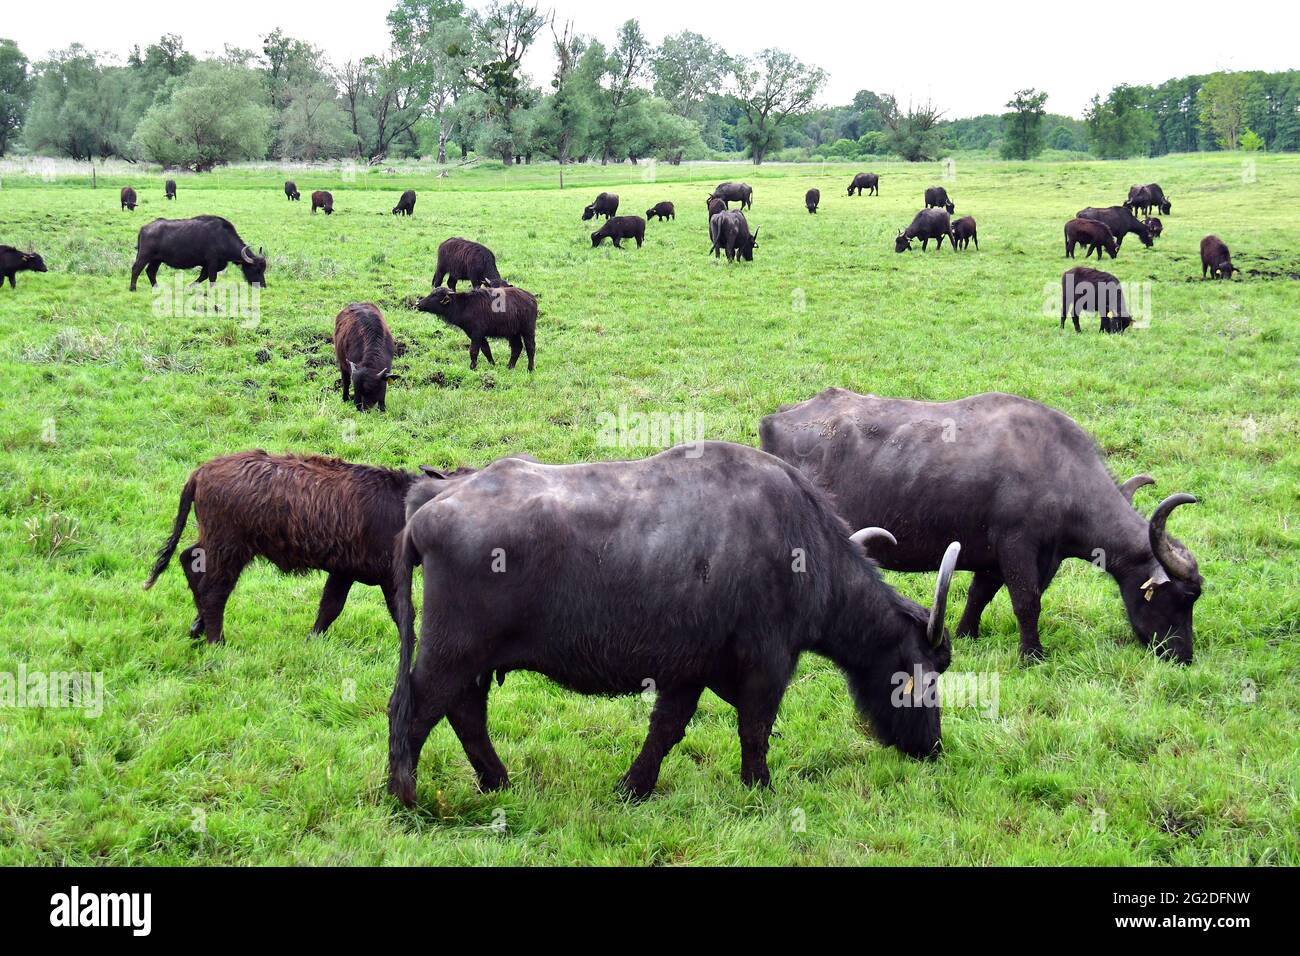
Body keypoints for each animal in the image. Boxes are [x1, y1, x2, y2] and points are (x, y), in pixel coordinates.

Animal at [129, 216, 267, 290]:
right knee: (136, 269)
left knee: (150, 271)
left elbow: (202, 277)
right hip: (144, 256)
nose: (263, 286)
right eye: (256, 270)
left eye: (263, 270)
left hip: (156, 260)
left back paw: (156, 288)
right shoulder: (212, 263)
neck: (223, 237)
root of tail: (144, 228)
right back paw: (133, 289)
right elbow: (212, 278)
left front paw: (189, 287)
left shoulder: (207, 265)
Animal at [386, 442, 961, 804]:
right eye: (927, 674)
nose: (932, 748)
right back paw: (403, 793)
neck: (800, 544)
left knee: (465, 713)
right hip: (451, 652)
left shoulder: (687, 669)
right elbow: (755, 728)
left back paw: (498, 782)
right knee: (417, 708)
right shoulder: (767, 663)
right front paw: (760, 788)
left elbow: (666, 729)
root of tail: (430, 505)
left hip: (473, 661)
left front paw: (633, 787)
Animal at [760, 388, 1203, 663]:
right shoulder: (1018, 548)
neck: (1059, 469)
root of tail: (776, 420)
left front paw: (967, 632)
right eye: (1181, 598)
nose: (1183, 655)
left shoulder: (1002, 558)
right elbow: (1027, 601)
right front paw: (1032, 655)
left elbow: (980, 594)